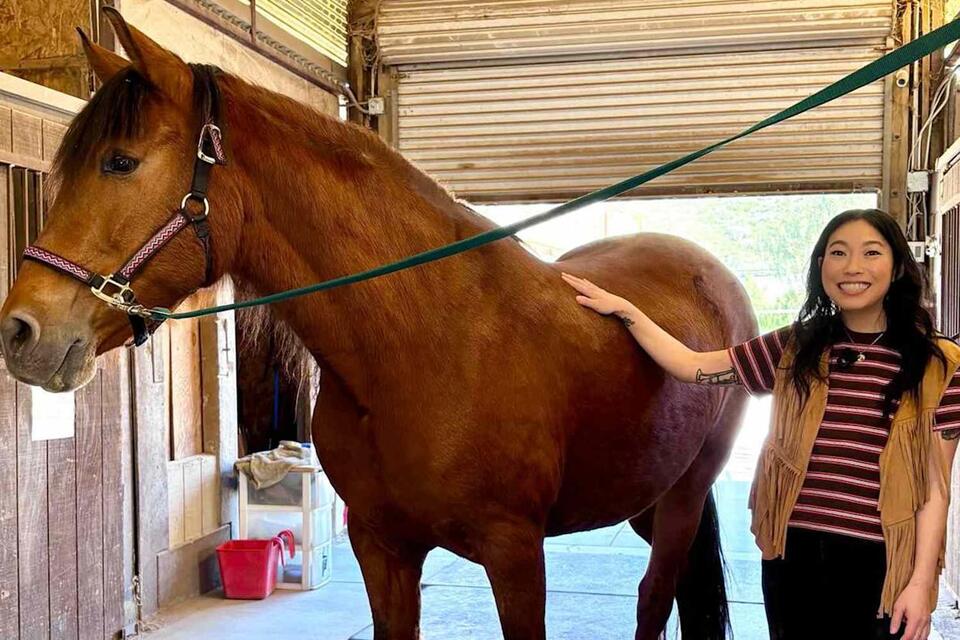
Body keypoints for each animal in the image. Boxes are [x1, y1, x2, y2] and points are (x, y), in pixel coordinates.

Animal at [0, 9, 757, 639]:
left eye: (120, 162)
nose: (21, 332)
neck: (422, 345)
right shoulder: (381, 546)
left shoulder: (516, 555)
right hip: (645, 498)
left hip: (685, 496)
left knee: (653, 599)